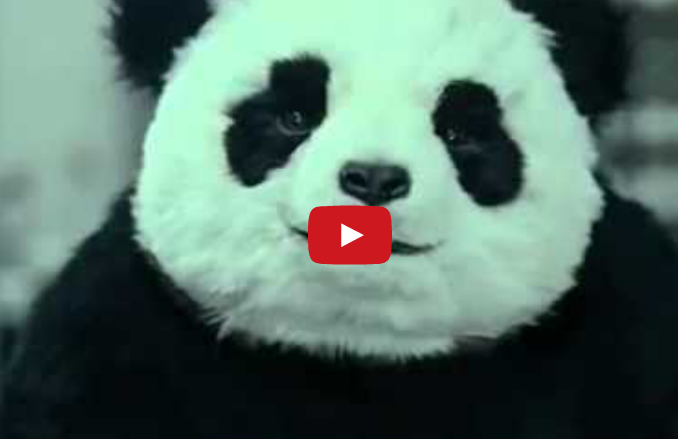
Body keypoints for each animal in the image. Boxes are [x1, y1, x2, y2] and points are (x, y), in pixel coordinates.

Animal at [1, 0, 677, 437]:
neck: (359, 348)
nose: (373, 179)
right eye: (294, 117)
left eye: (460, 131)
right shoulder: (110, 336)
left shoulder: (625, 323)